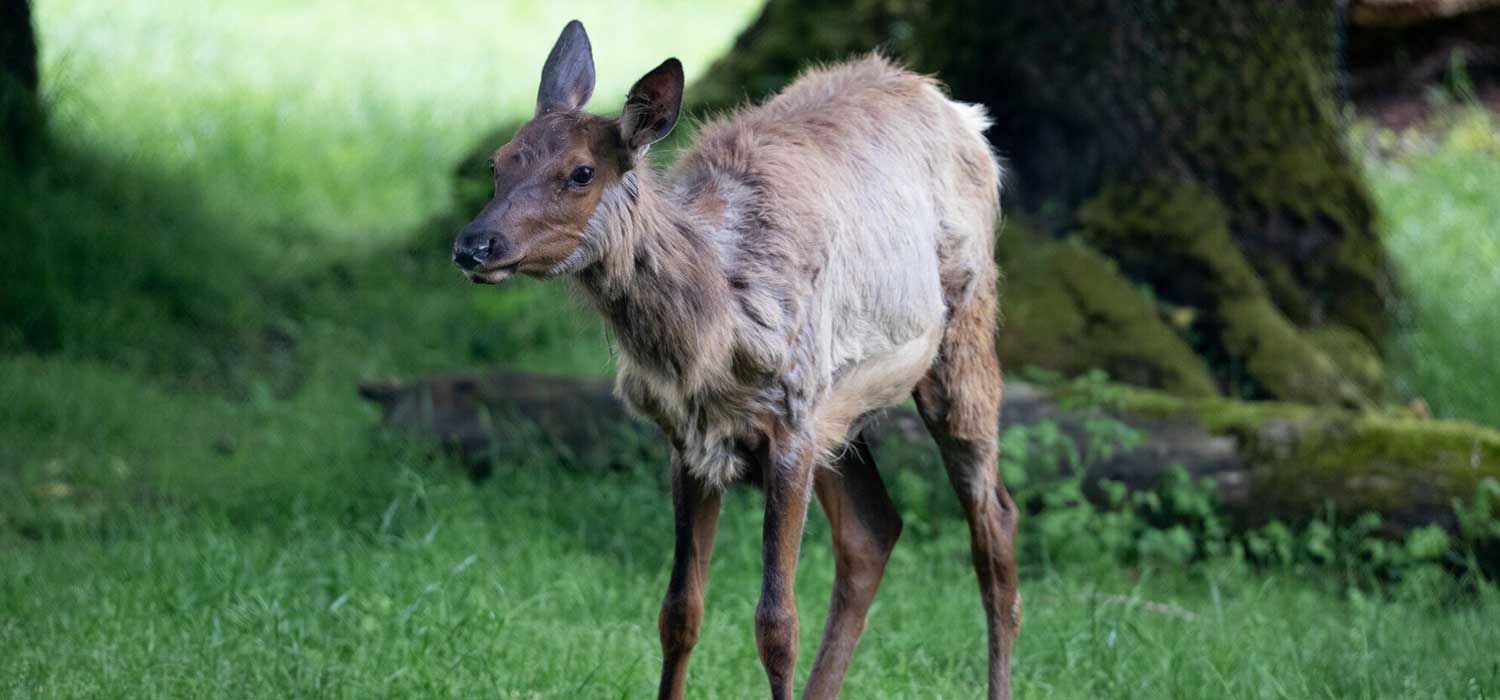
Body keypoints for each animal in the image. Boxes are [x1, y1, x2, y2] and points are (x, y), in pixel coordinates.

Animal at [451, 20, 1020, 700]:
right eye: (498, 161)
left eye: (581, 172)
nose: (474, 245)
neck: (711, 339)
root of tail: (963, 113)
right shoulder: (688, 439)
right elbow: (679, 612)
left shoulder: (790, 419)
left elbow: (777, 625)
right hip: (838, 408)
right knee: (873, 530)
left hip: (962, 332)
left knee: (995, 528)